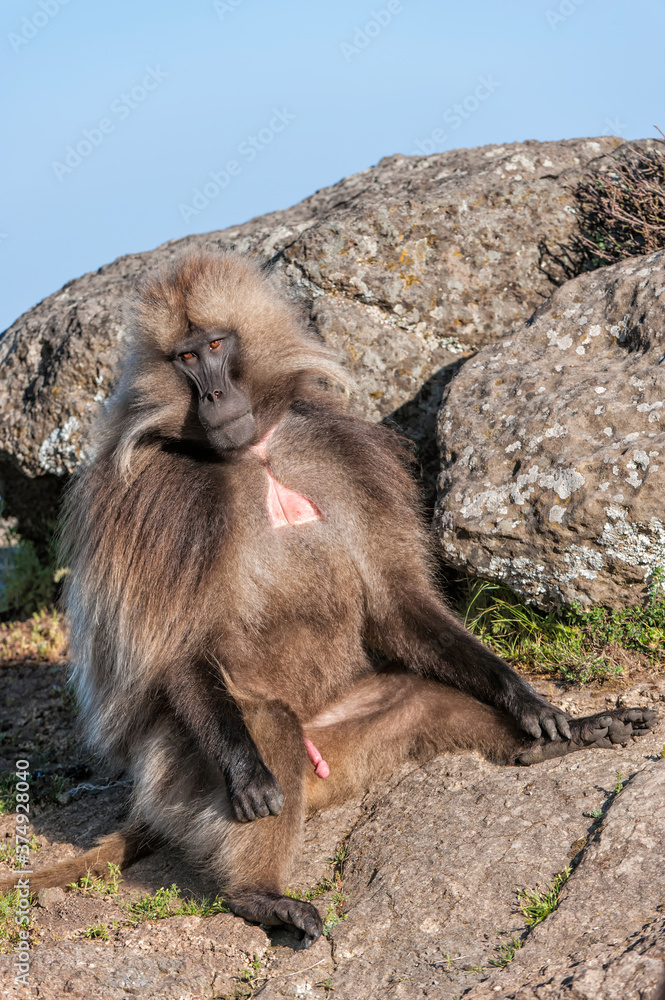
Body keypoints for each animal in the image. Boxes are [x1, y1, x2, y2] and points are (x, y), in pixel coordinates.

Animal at [1, 250, 657, 947]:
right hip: (184, 763)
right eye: (184, 358)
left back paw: (560, 740)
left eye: (216, 346)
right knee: (271, 731)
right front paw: (248, 777)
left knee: (422, 696)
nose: (212, 396)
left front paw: (534, 704)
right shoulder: (156, 504)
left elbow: (398, 606)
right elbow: (176, 650)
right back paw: (261, 894)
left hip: (350, 743)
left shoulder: (347, 459)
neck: (257, 455)